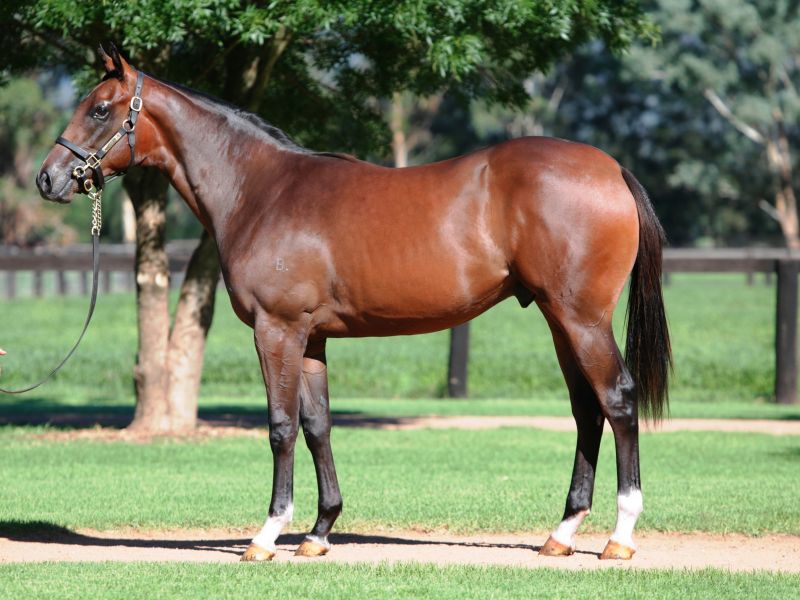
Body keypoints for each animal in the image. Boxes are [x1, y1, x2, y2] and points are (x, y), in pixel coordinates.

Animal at [36, 46, 670, 562]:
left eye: (100, 109)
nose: (48, 179)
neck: (260, 190)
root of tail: (611, 168)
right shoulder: (311, 338)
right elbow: (318, 426)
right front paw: (318, 534)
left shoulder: (276, 330)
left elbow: (281, 427)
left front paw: (267, 536)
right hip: (559, 321)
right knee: (587, 411)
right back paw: (561, 535)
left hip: (580, 319)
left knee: (618, 400)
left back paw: (620, 538)